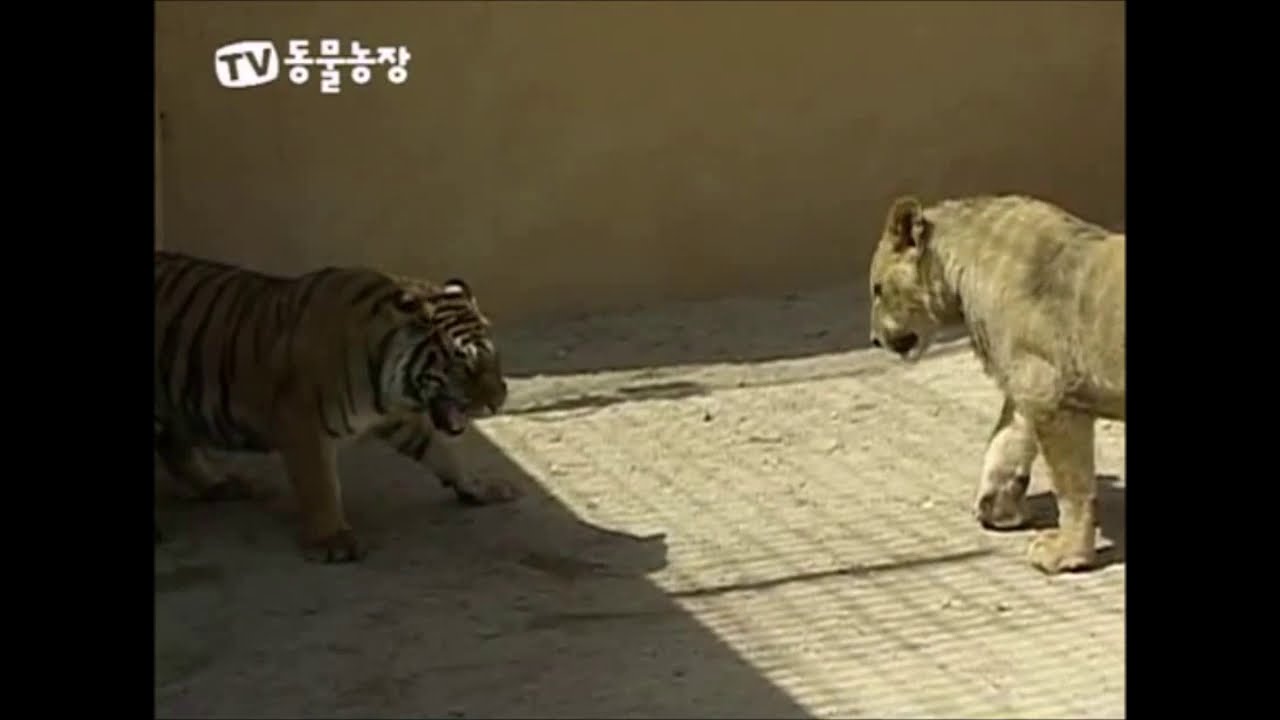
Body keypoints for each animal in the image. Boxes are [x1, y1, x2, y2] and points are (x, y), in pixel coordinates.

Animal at [154, 250, 518, 563]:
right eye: (465, 365)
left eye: (494, 358)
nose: (499, 400)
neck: (387, 380)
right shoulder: (301, 423)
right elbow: (321, 486)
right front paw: (333, 540)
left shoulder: (398, 418)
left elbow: (445, 454)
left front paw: (480, 487)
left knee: (176, 449)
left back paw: (219, 485)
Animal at [866, 194, 1124, 574]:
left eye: (878, 289)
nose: (873, 339)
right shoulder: (1025, 389)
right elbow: (1005, 443)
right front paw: (996, 508)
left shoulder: (1049, 395)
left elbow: (1071, 485)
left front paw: (1067, 553)